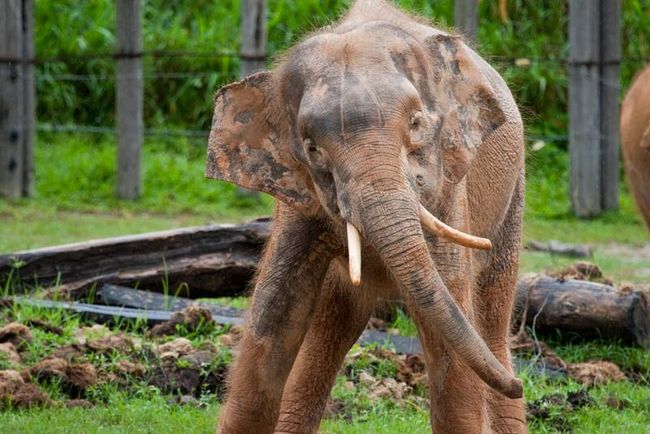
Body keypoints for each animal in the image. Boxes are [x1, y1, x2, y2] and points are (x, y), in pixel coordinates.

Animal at [205, 1, 526, 432]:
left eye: (416, 124)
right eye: (312, 148)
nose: (520, 386)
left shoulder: (447, 189)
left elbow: (450, 321)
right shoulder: (298, 202)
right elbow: (273, 313)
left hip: (513, 197)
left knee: (490, 320)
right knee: (329, 328)